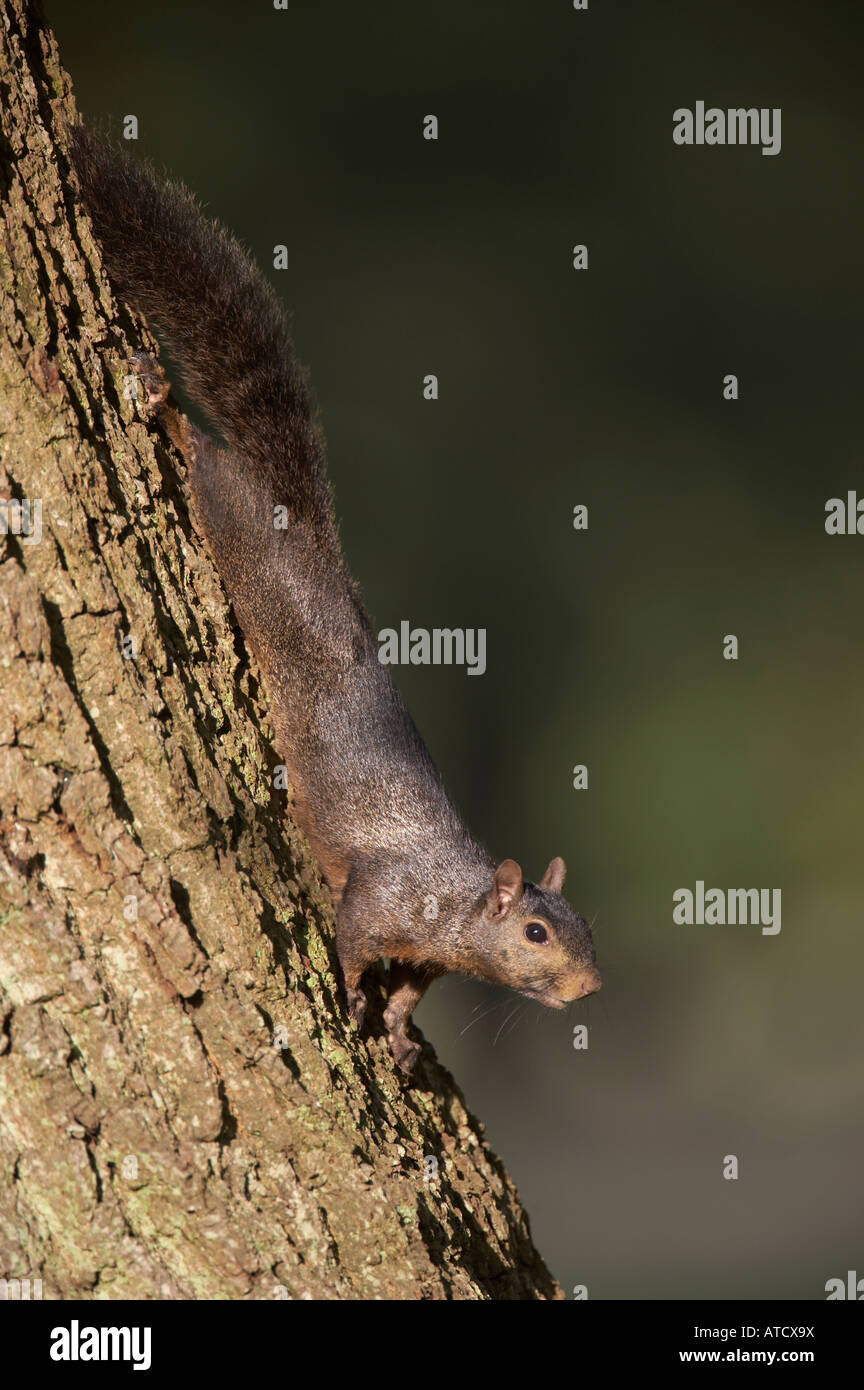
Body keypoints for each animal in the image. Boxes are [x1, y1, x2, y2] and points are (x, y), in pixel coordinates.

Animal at [69, 129, 601, 1075]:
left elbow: (414, 988)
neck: (455, 901)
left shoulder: (430, 954)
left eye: (585, 927)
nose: (590, 988)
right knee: (206, 460)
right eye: (537, 933)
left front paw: (396, 1030)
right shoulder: (384, 897)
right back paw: (165, 409)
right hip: (233, 518)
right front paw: (355, 998)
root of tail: (307, 533)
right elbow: (354, 939)